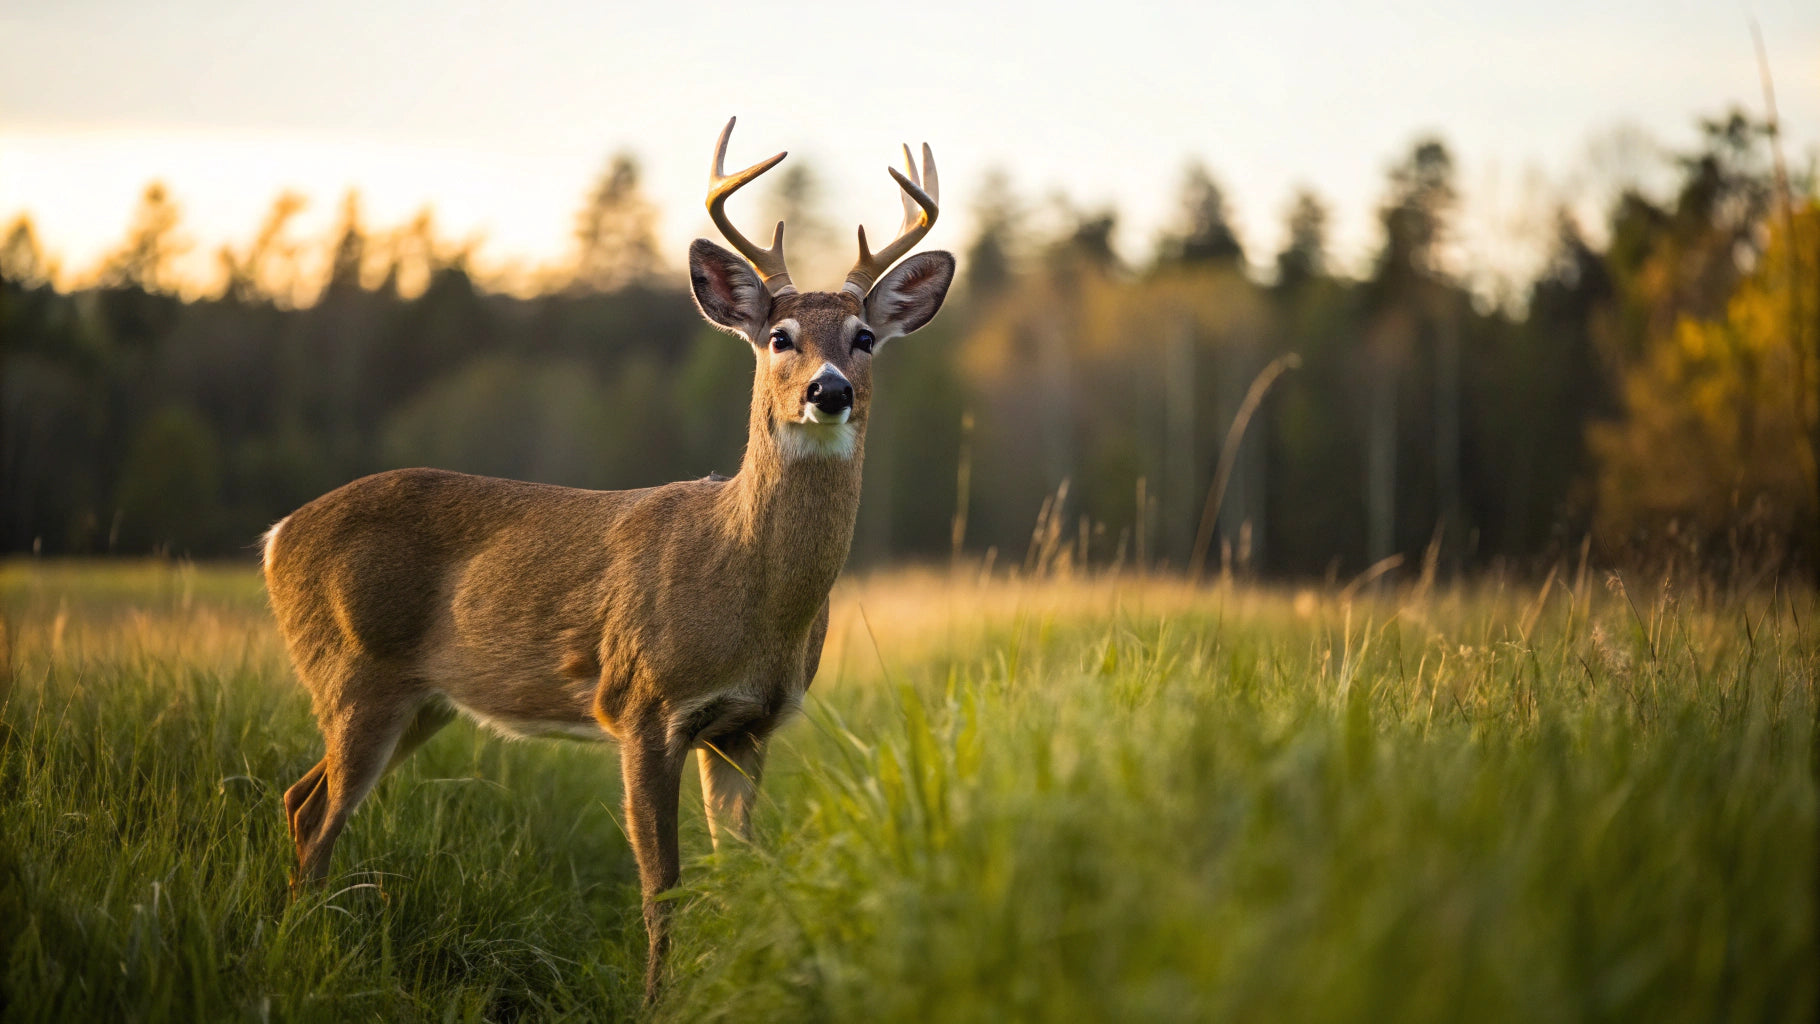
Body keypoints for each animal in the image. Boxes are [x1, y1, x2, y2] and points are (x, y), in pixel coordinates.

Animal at [262, 117, 954, 1002]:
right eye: (780, 337)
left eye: (865, 337)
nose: (827, 391)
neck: (748, 594)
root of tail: (278, 536)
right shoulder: (642, 704)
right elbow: (664, 886)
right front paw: (658, 1000)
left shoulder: (746, 726)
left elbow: (743, 871)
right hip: (352, 671)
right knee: (319, 814)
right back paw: (297, 959)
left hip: (419, 699)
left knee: (299, 795)